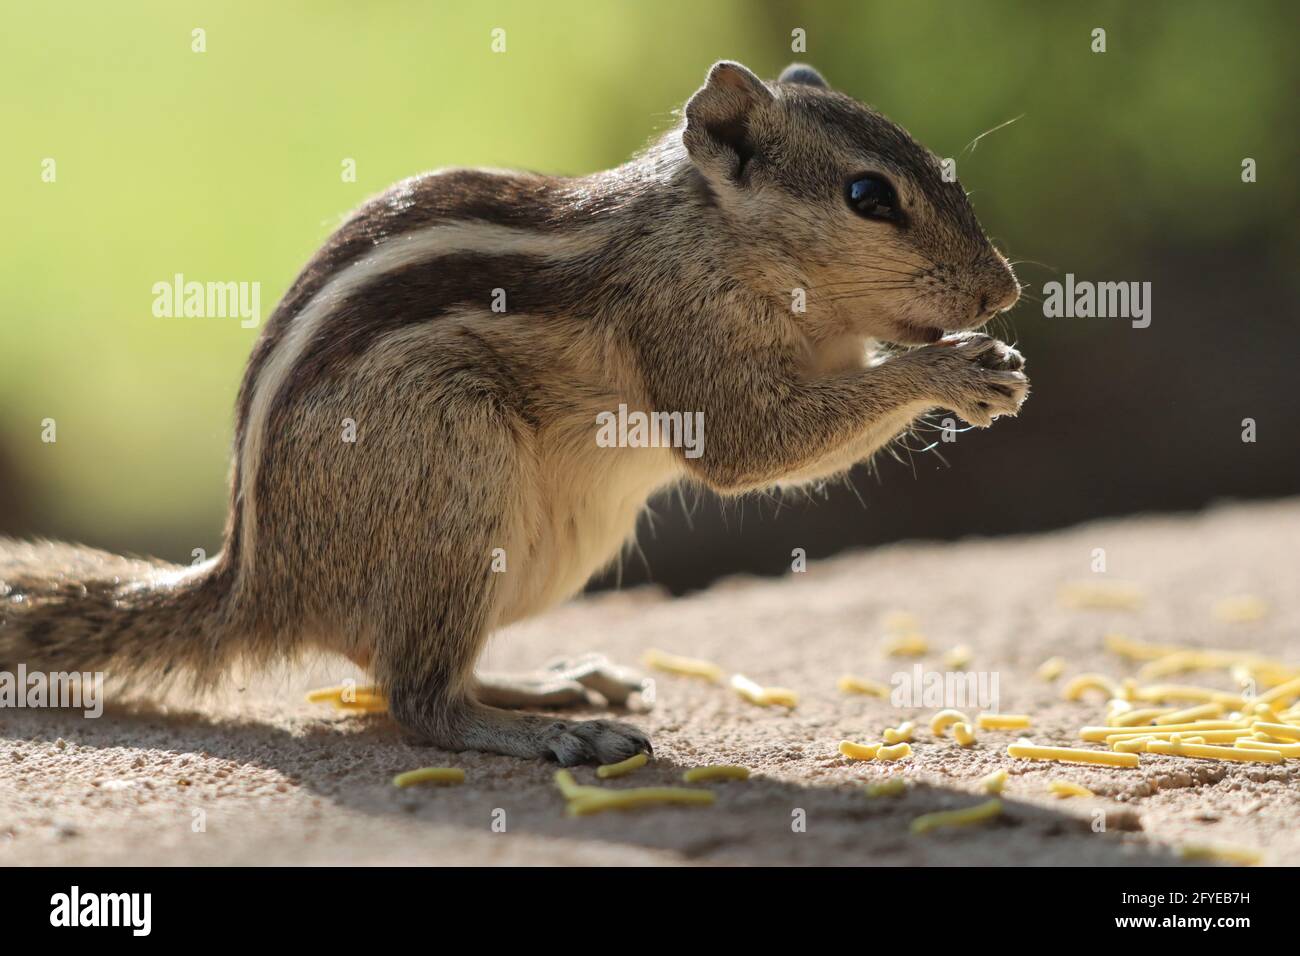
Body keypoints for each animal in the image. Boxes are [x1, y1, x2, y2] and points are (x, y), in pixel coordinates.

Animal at [0, 61, 1026, 765]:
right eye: (867, 196)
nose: (1004, 291)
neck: (714, 235)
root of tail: (260, 581)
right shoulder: (684, 327)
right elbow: (746, 447)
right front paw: (952, 369)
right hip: (449, 467)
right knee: (420, 703)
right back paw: (537, 735)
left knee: (398, 665)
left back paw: (551, 687)